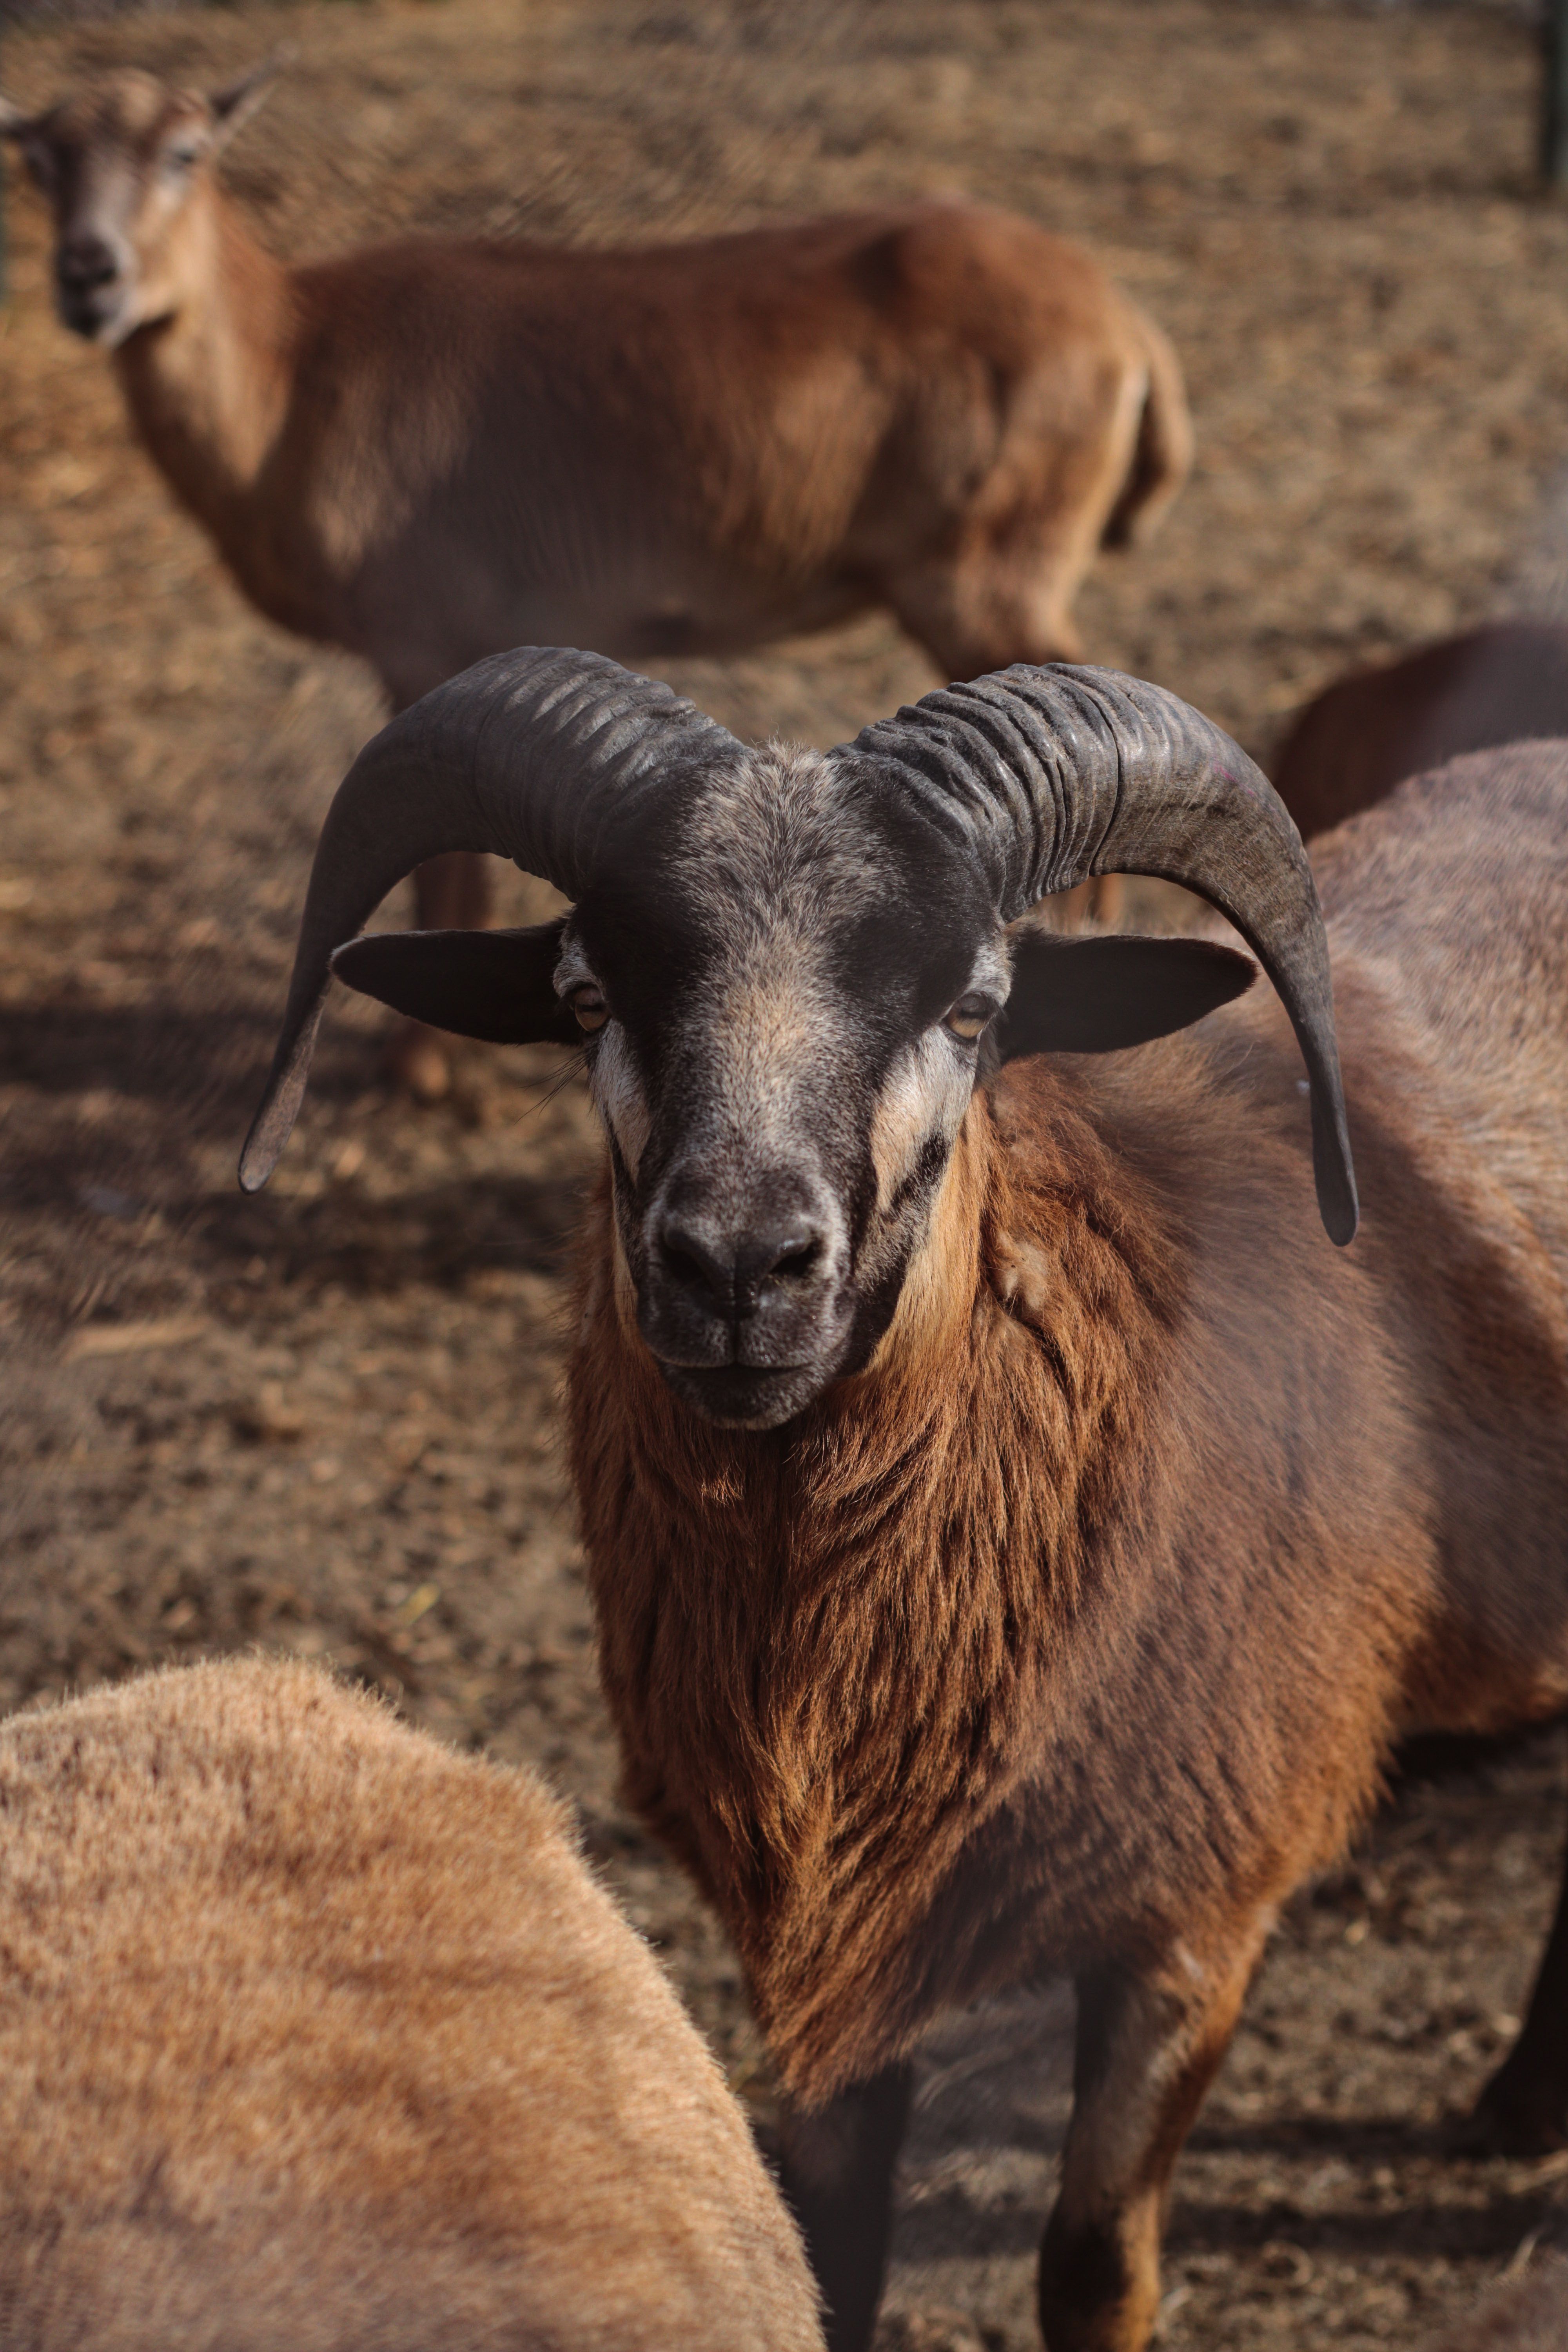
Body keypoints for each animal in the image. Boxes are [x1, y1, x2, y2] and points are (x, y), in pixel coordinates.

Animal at [0, 62, 1188, 1085]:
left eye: (184, 152)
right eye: (41, 163)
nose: (89, 277)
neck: (294, 371)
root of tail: (1125, 325)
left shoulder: (426, 641)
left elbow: (447, 866)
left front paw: (421, 1067)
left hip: (989, 575)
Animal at [238, 645, 1568, 2352]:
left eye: (974, 1007)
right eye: (586, 996)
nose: (738, 1269)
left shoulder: (1198, 1914)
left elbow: (1092, 2265)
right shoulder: (817, 1928)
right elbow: (831, 2251)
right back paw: (1521, 2104)